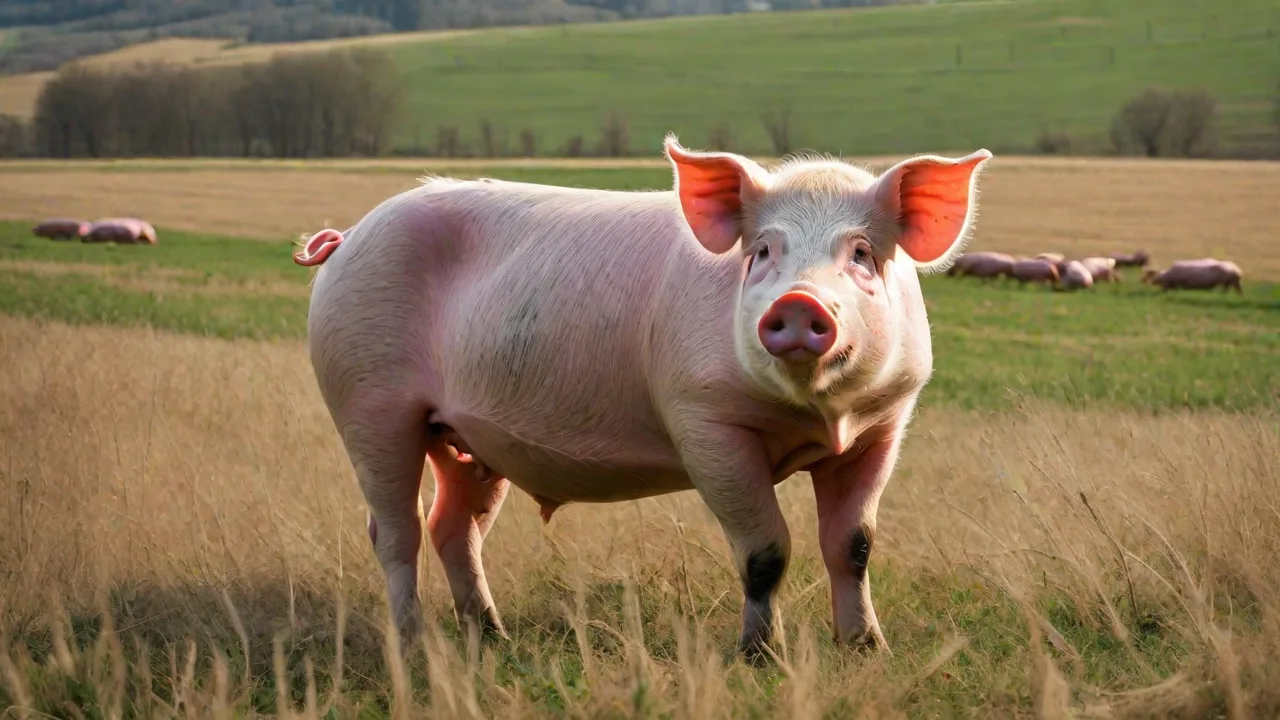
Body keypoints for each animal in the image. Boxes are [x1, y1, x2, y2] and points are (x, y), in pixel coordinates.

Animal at [296, 134, 993, 659]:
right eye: (763, 250)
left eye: (862, 254)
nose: (799, 303)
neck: (818, 414)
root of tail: (349, 236)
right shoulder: (704, 419)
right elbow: (765, 551)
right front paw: (760, 659)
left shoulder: (883, 424)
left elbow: (853, 545)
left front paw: (867, 650)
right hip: (367, 401)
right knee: (395, 529)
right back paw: (413, 645)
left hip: (467, 438)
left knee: (453, 526)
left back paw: (492, 638)